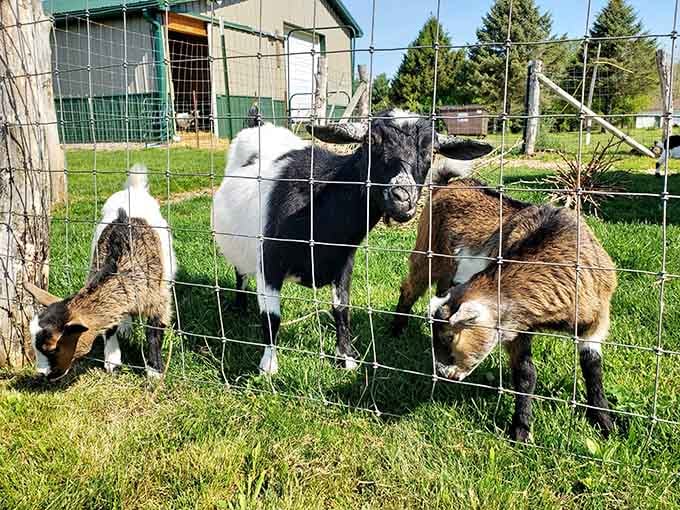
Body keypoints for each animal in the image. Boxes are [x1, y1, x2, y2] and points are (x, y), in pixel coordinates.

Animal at [25, 164, 177, 381]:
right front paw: (112, 360)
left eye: (53, 349)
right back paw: (126, 327)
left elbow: (153, 333)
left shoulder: (158, 300)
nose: (43, 374)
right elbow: (109, 328)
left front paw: (155, 371)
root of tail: (133, 189)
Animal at [212, 109, 494, 374]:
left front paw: (346, 358)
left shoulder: (344, 262)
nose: (403, 199)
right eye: (371, 141)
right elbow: (272, 316)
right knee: (240, 273)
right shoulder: (269, 262)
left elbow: (341, 308)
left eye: (431, 150)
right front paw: (268, 366)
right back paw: (239, 306)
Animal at [428, 203, 616, 441]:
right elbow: (525, 373)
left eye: (450, 337)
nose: (442, 372)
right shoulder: (518, 326)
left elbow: (592, 365)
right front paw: (521, 429)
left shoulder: (597, 317)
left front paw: (604, 422)